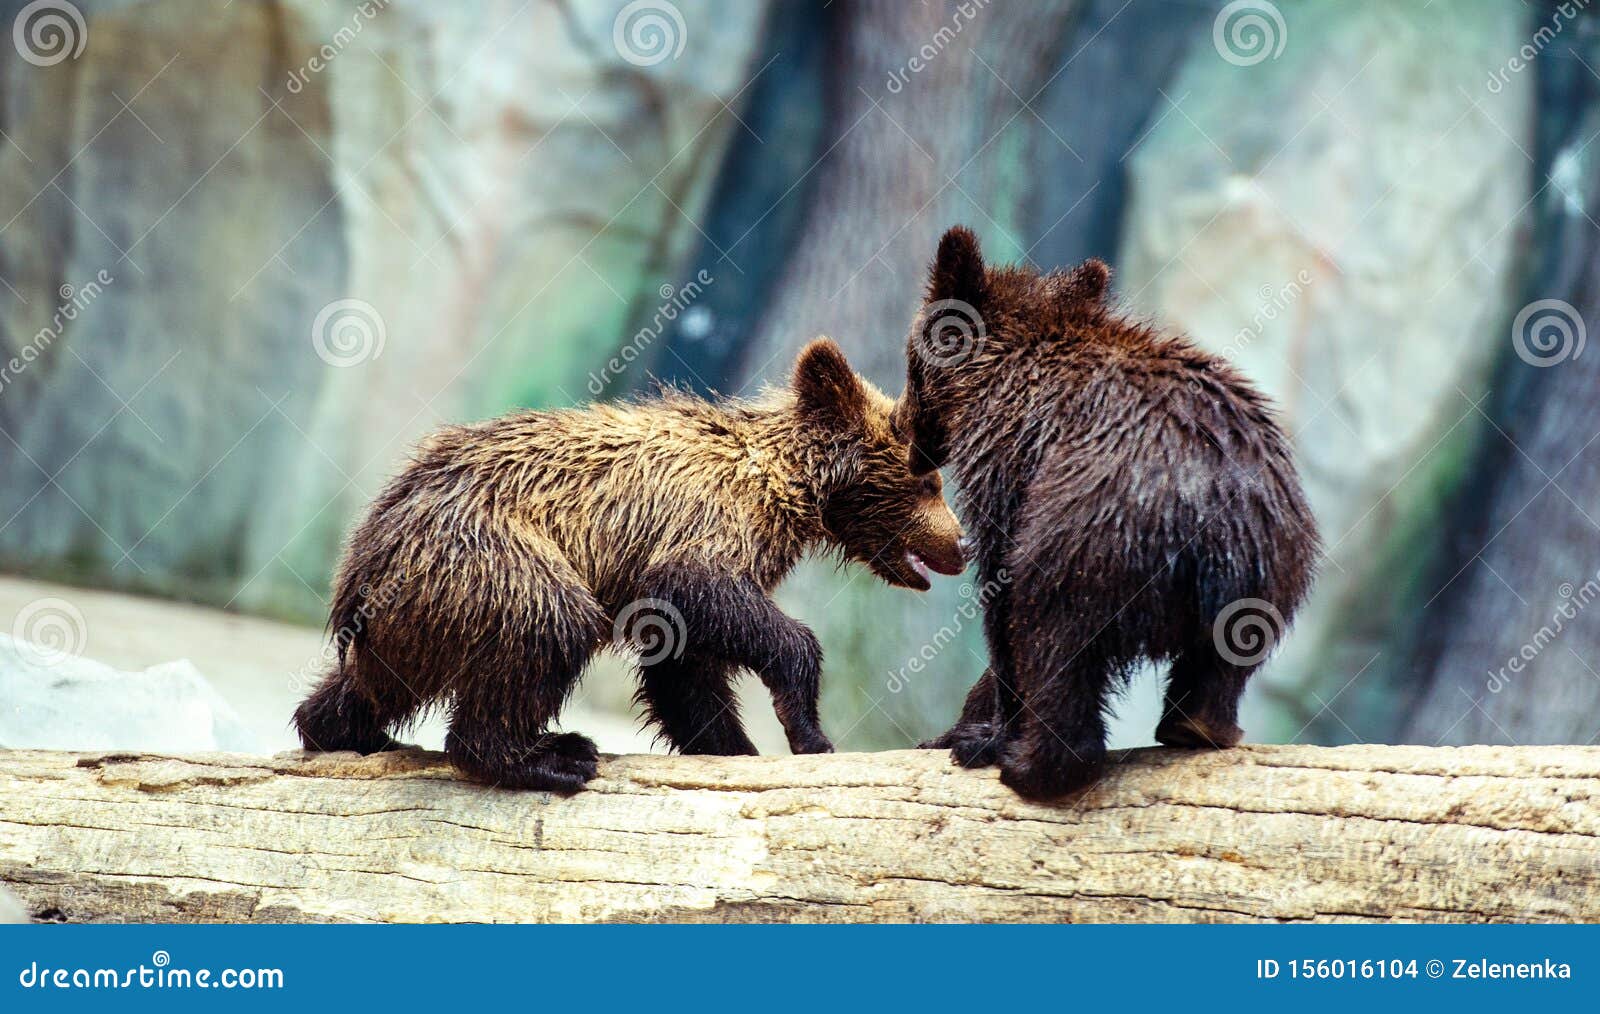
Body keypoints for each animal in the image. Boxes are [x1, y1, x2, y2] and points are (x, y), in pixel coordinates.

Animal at [293, 337, 966, 793]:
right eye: (930, 480)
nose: (960, 545)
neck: (788, 484)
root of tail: (360, 563)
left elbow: (685, 672)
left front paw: (734, 748)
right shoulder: (698, 526)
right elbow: (703, 595)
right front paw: (809, 729)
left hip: (413, 618)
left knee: (370, 683)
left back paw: (343, 729)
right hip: (488, 557)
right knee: (554, 623)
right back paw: (550, 755)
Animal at [893, 227, 1320, 800]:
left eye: (909, 362)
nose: (902, 429)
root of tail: (1210, 520)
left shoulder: (1009, 464)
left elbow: (1000, 596)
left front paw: (981, 732)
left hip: (1094, 538)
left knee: (1052, 629)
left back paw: (1030, 763)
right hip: (1273, 561)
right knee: (1221, 664)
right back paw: (1197, 725)